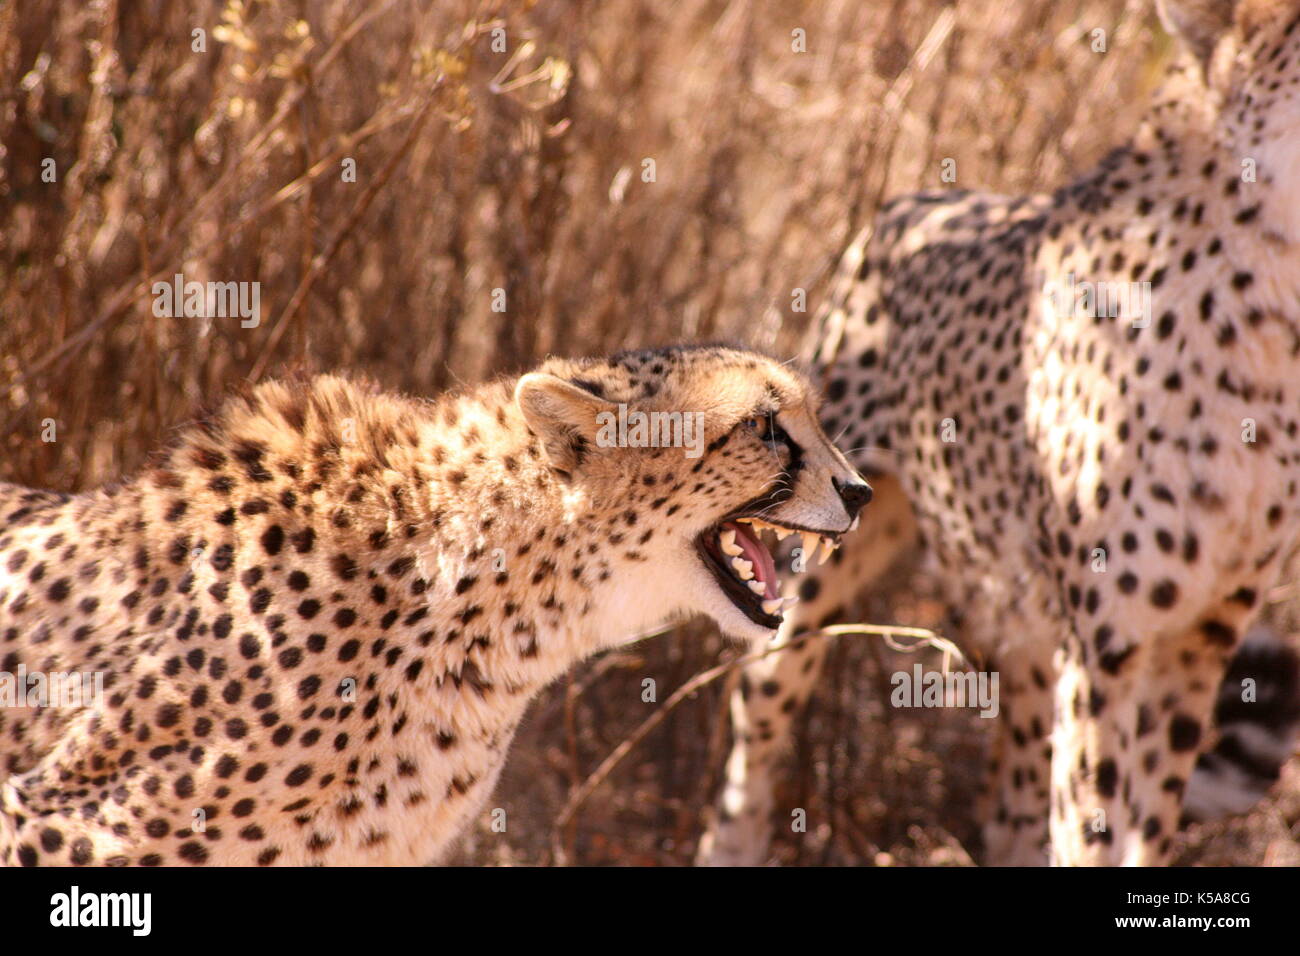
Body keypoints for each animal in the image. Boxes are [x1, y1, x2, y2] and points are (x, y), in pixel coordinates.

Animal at [698, 0, 1300, 867]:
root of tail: (910, 202)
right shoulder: (1108, 646)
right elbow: (1093, 823)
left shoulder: (1200, 633)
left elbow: (1143, 823)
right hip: (823, 565)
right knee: (757, 725)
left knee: (1014, 785)